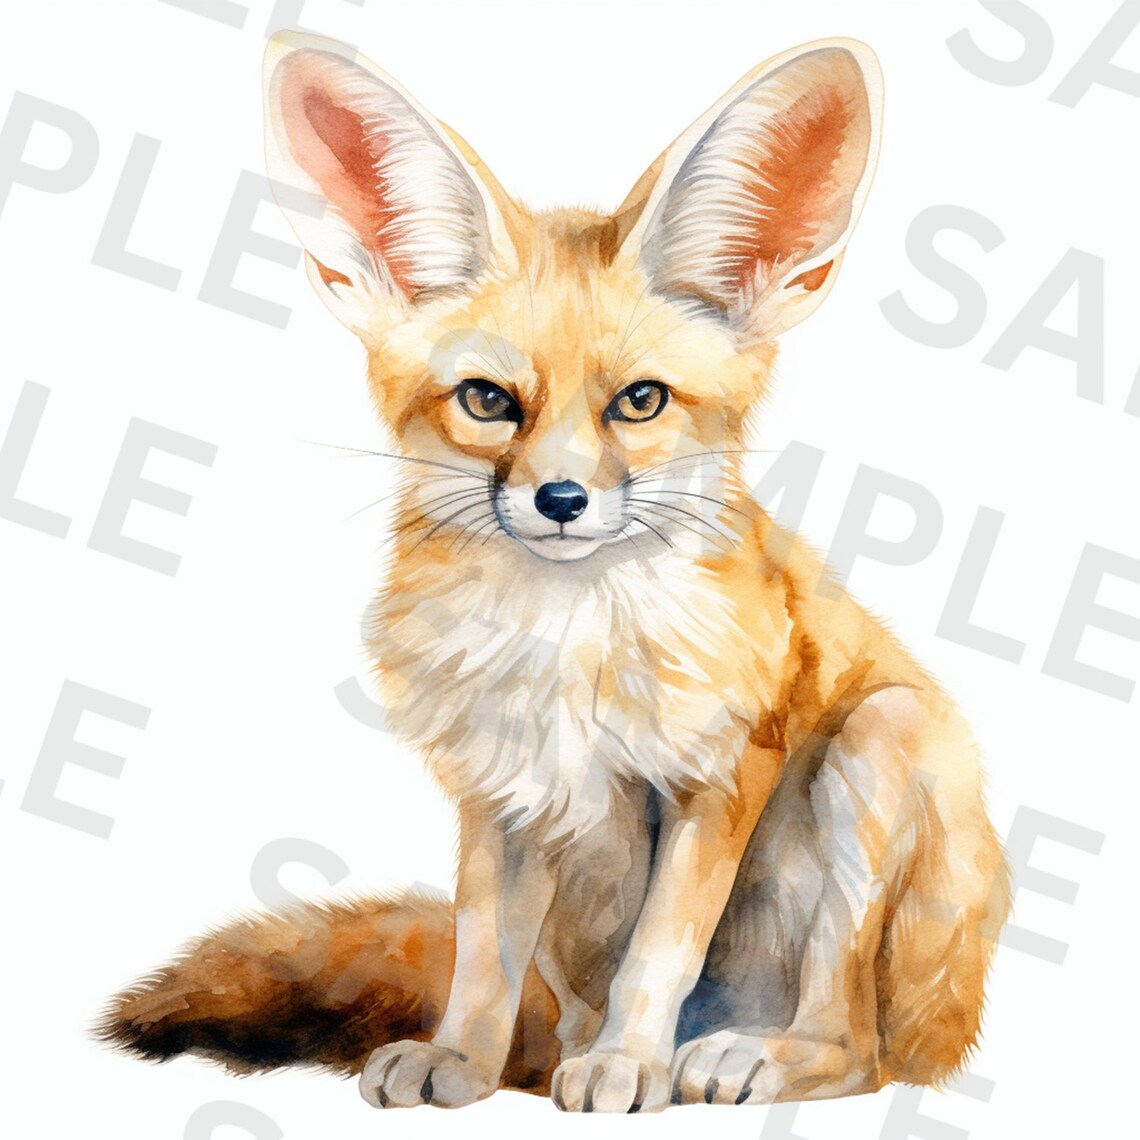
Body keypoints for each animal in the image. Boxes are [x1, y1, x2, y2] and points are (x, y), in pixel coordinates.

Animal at [98, 31, 1011, 1113]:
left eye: (641, 401)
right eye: (489, 400)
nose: (563, 499)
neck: (568, 644)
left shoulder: (713, 781)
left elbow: (659, 953)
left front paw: (628, 1063)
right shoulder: (500, 794)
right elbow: (484, 957)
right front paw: (460, 1061)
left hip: (882, 746)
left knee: (859, 1046)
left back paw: (744, 1056)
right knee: (562, 1013)